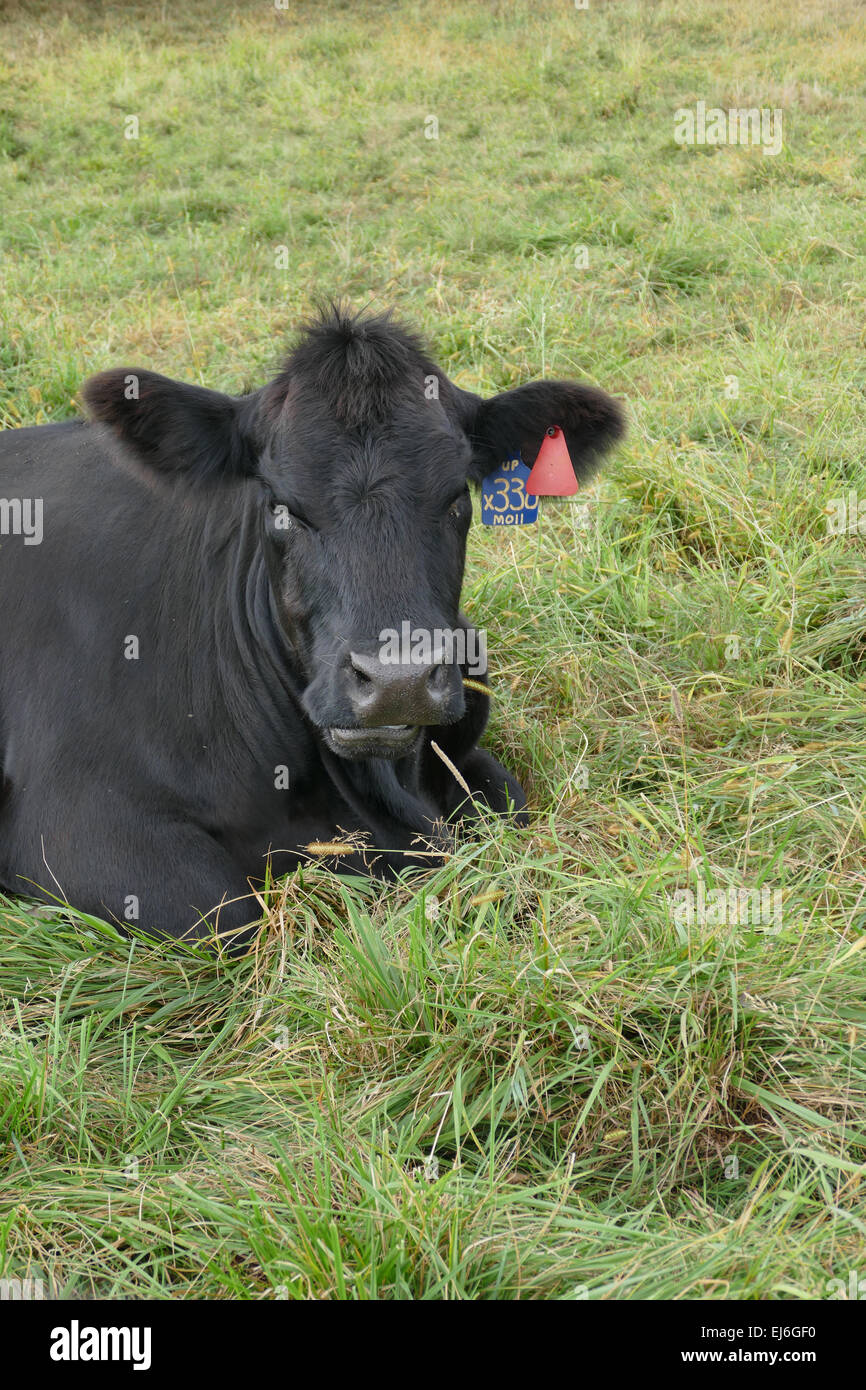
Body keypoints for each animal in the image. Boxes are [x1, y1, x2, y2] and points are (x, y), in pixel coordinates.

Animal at [0, 306, 623, 949]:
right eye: (281, 506)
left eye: (458, 497)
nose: (397, 682)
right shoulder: (78, 822)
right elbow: (230, 917)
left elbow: (507, 803)